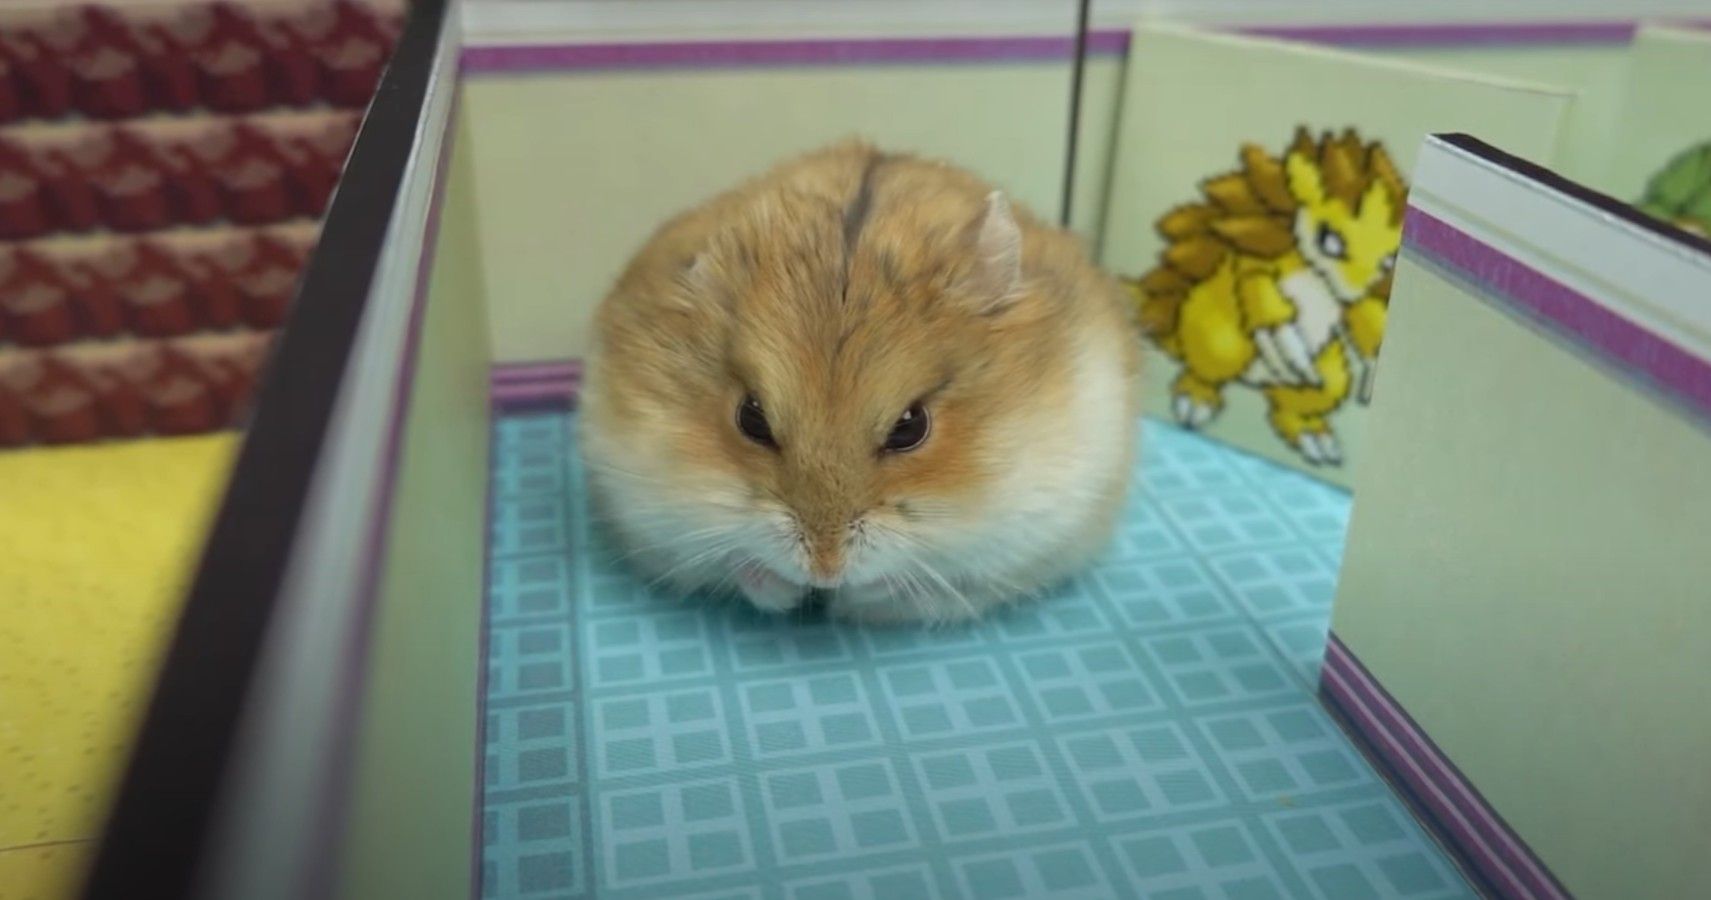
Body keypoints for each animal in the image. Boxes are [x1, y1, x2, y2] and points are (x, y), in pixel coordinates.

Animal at [580, 140, 1140, 625]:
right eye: (751, 419)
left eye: (910, 427)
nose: (825, 572)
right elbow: (741, 568)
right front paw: (793, 592)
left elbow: (918, 582)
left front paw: (850, 596)